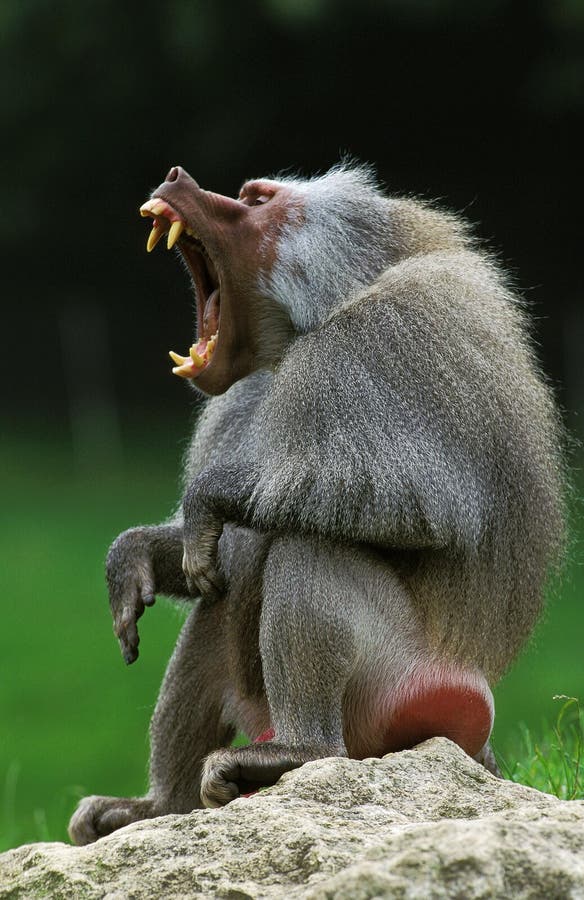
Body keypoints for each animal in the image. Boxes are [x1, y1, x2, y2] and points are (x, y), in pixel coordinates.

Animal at [68, 162, 564, 844]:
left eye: (255, 201)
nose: (175, 178)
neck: (325, 308)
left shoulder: (381, 344)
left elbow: (421, 507)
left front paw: (210, 498)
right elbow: (212, 558)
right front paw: (133, 557)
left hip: (408, 677)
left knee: (312, 548)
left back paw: (297, 754)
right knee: (216, 610)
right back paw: (157, 808)